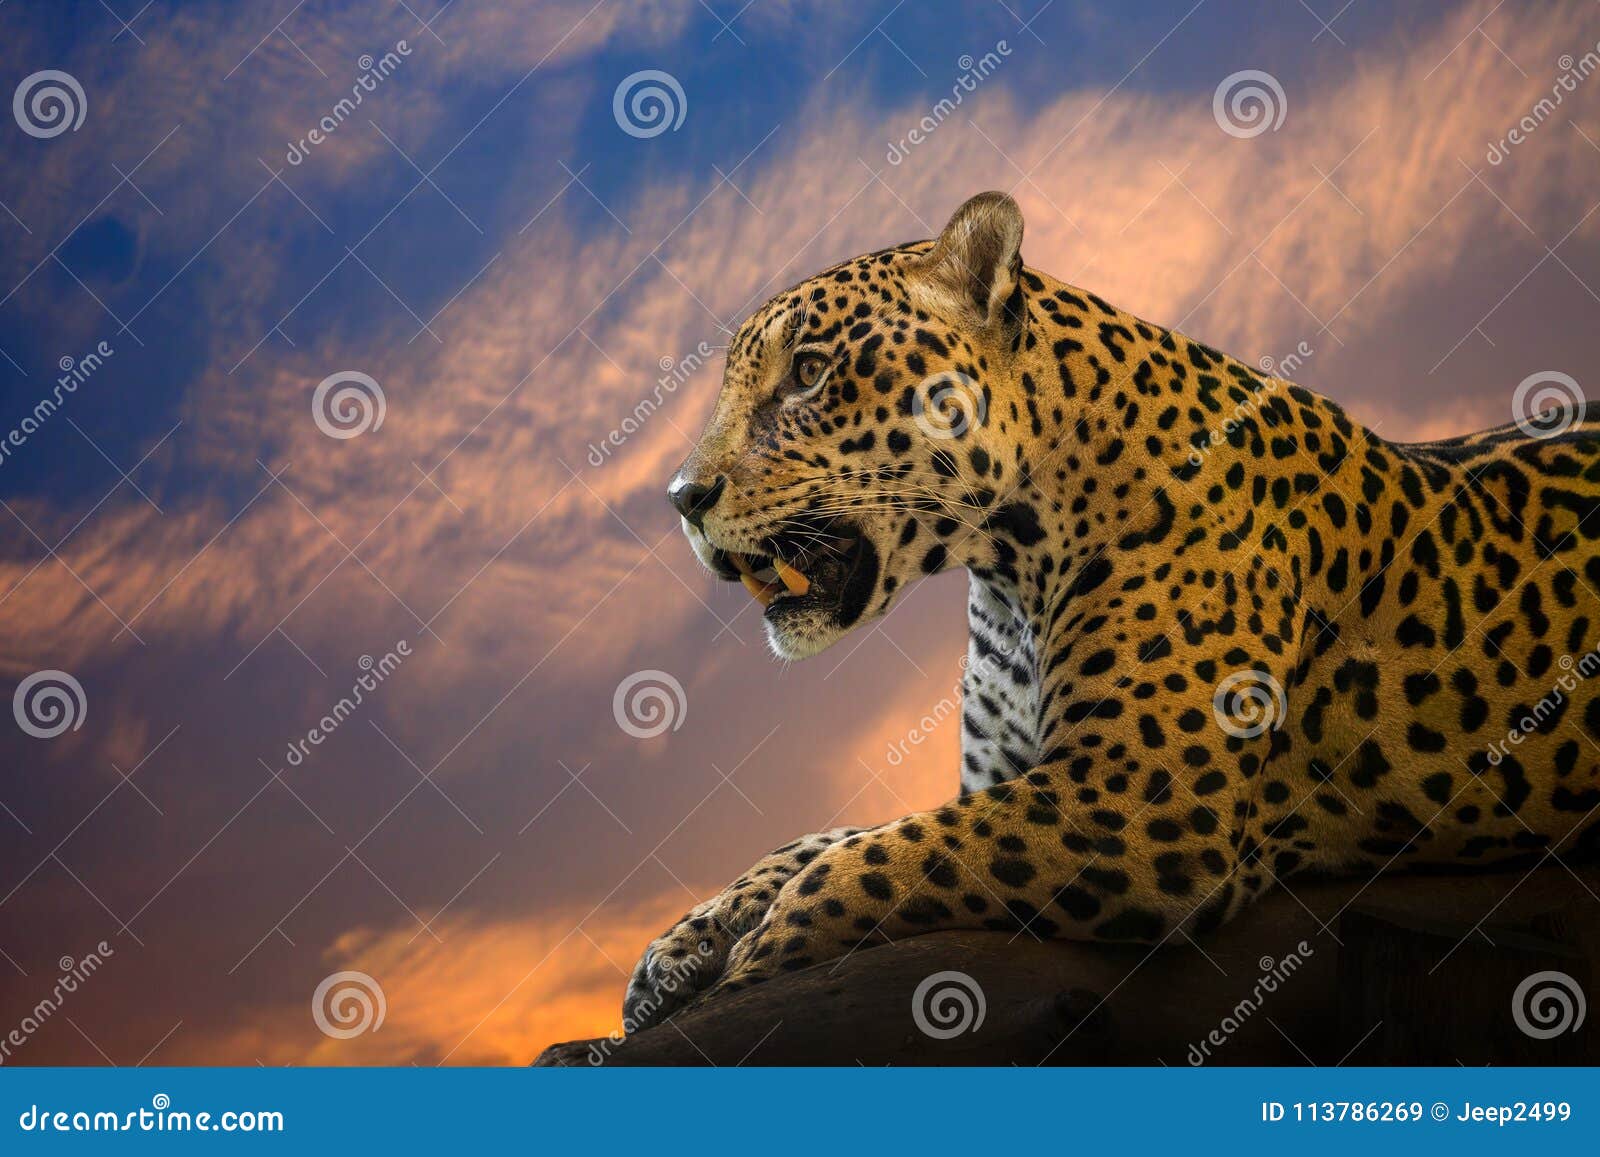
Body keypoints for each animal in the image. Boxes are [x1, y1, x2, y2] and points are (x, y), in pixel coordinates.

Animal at [626, 190, 1600, 1032]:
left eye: (809, 373)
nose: (682, 498)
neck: (1008, 573)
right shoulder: (1011, 774)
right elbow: (829, 838)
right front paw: (678, 952)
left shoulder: (1131, 795)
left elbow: (880, 859)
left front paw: (750, 963)